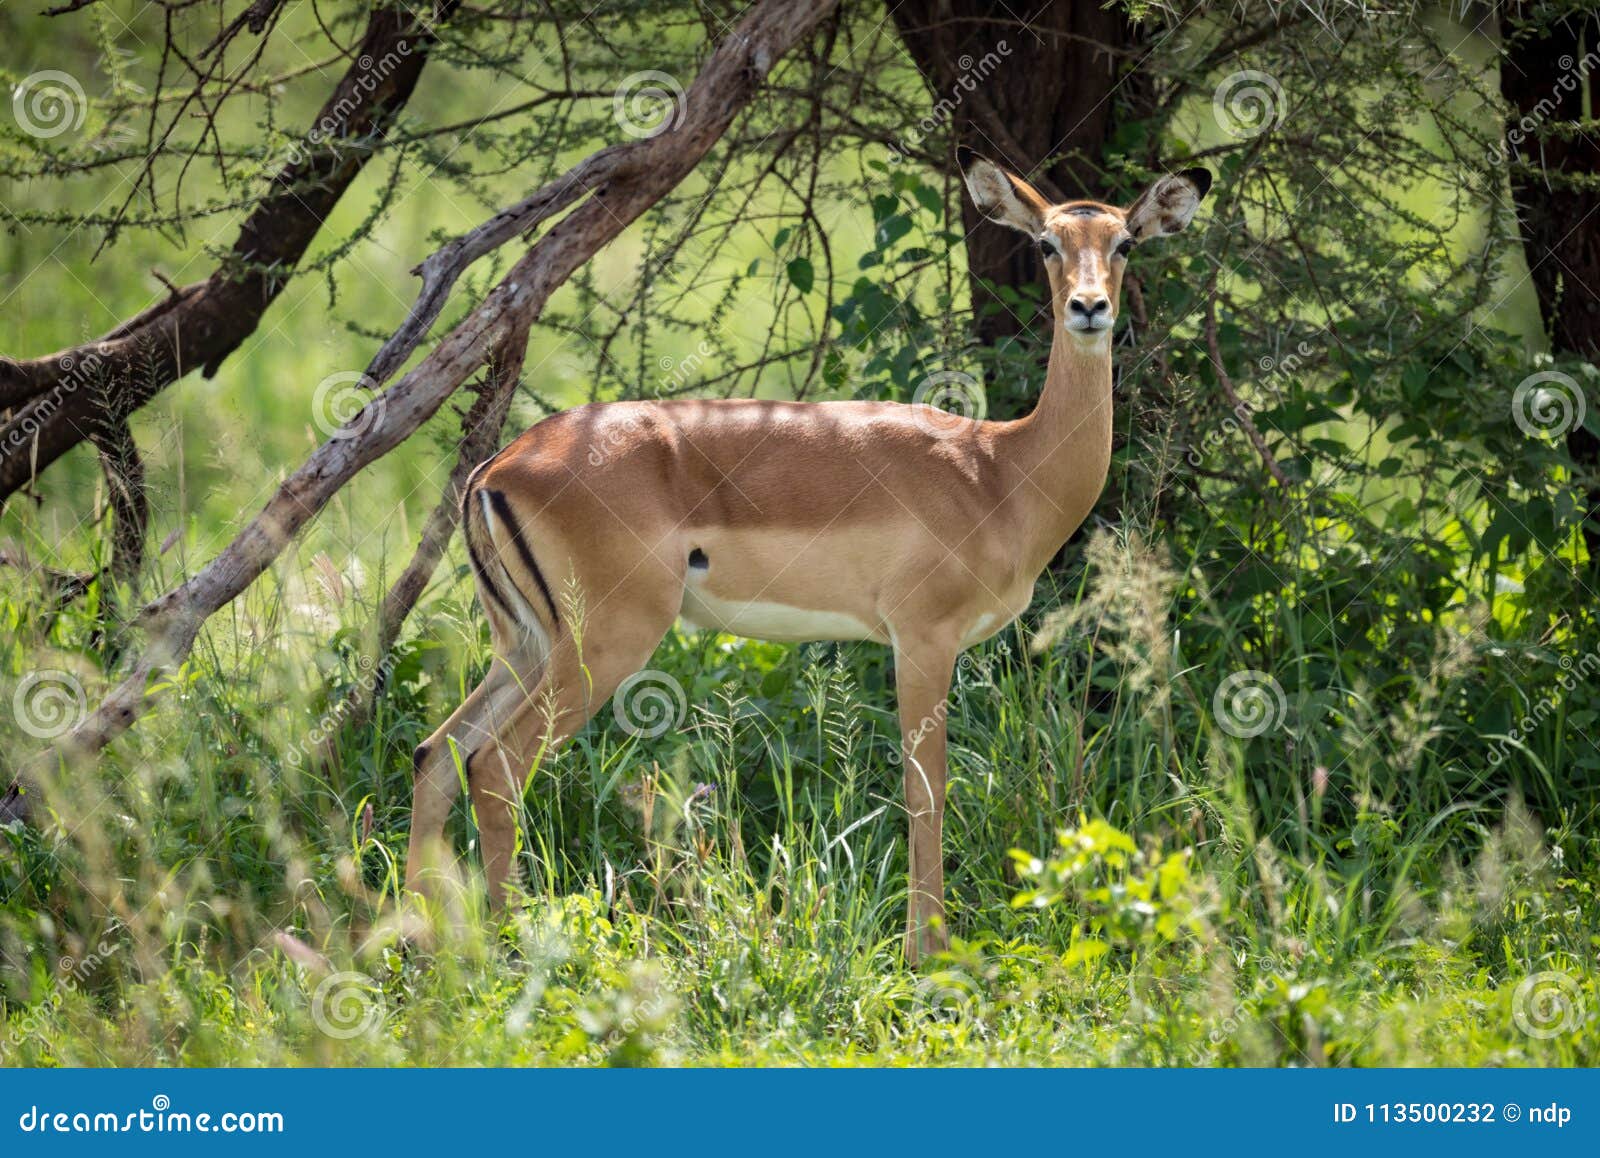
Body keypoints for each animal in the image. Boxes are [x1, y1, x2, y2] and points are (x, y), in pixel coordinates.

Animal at [406, 148, 1211, 963]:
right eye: (1047, 243)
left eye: (1124, 243)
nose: (1088, 307)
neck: (1000, 471)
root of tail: (498, 468)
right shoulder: (922, 639)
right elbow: (927, 788)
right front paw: (928, 951)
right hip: (605, 642)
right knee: (495, 766)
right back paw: (506, 942)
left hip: (527, 644)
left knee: (437, 754)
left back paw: (417, 937)